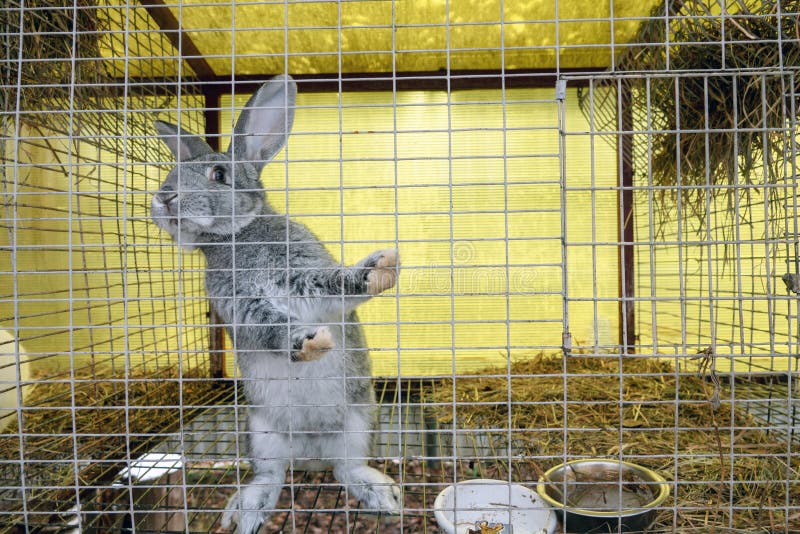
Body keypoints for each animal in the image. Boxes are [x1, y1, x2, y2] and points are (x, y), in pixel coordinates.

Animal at [150, 74, 401, 534]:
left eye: (218, 174)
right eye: (171, 173)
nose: (164, 199)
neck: (238, 237)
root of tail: (310, 456)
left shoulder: (305, 274)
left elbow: (333, 285)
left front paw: (380, 269)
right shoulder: (240, 306)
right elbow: (270, 325)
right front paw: (309, 342)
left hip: (359, 421)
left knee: (346, 468)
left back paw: (381, 495)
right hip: (262, 432)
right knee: (273, 475)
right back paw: (248, 510)